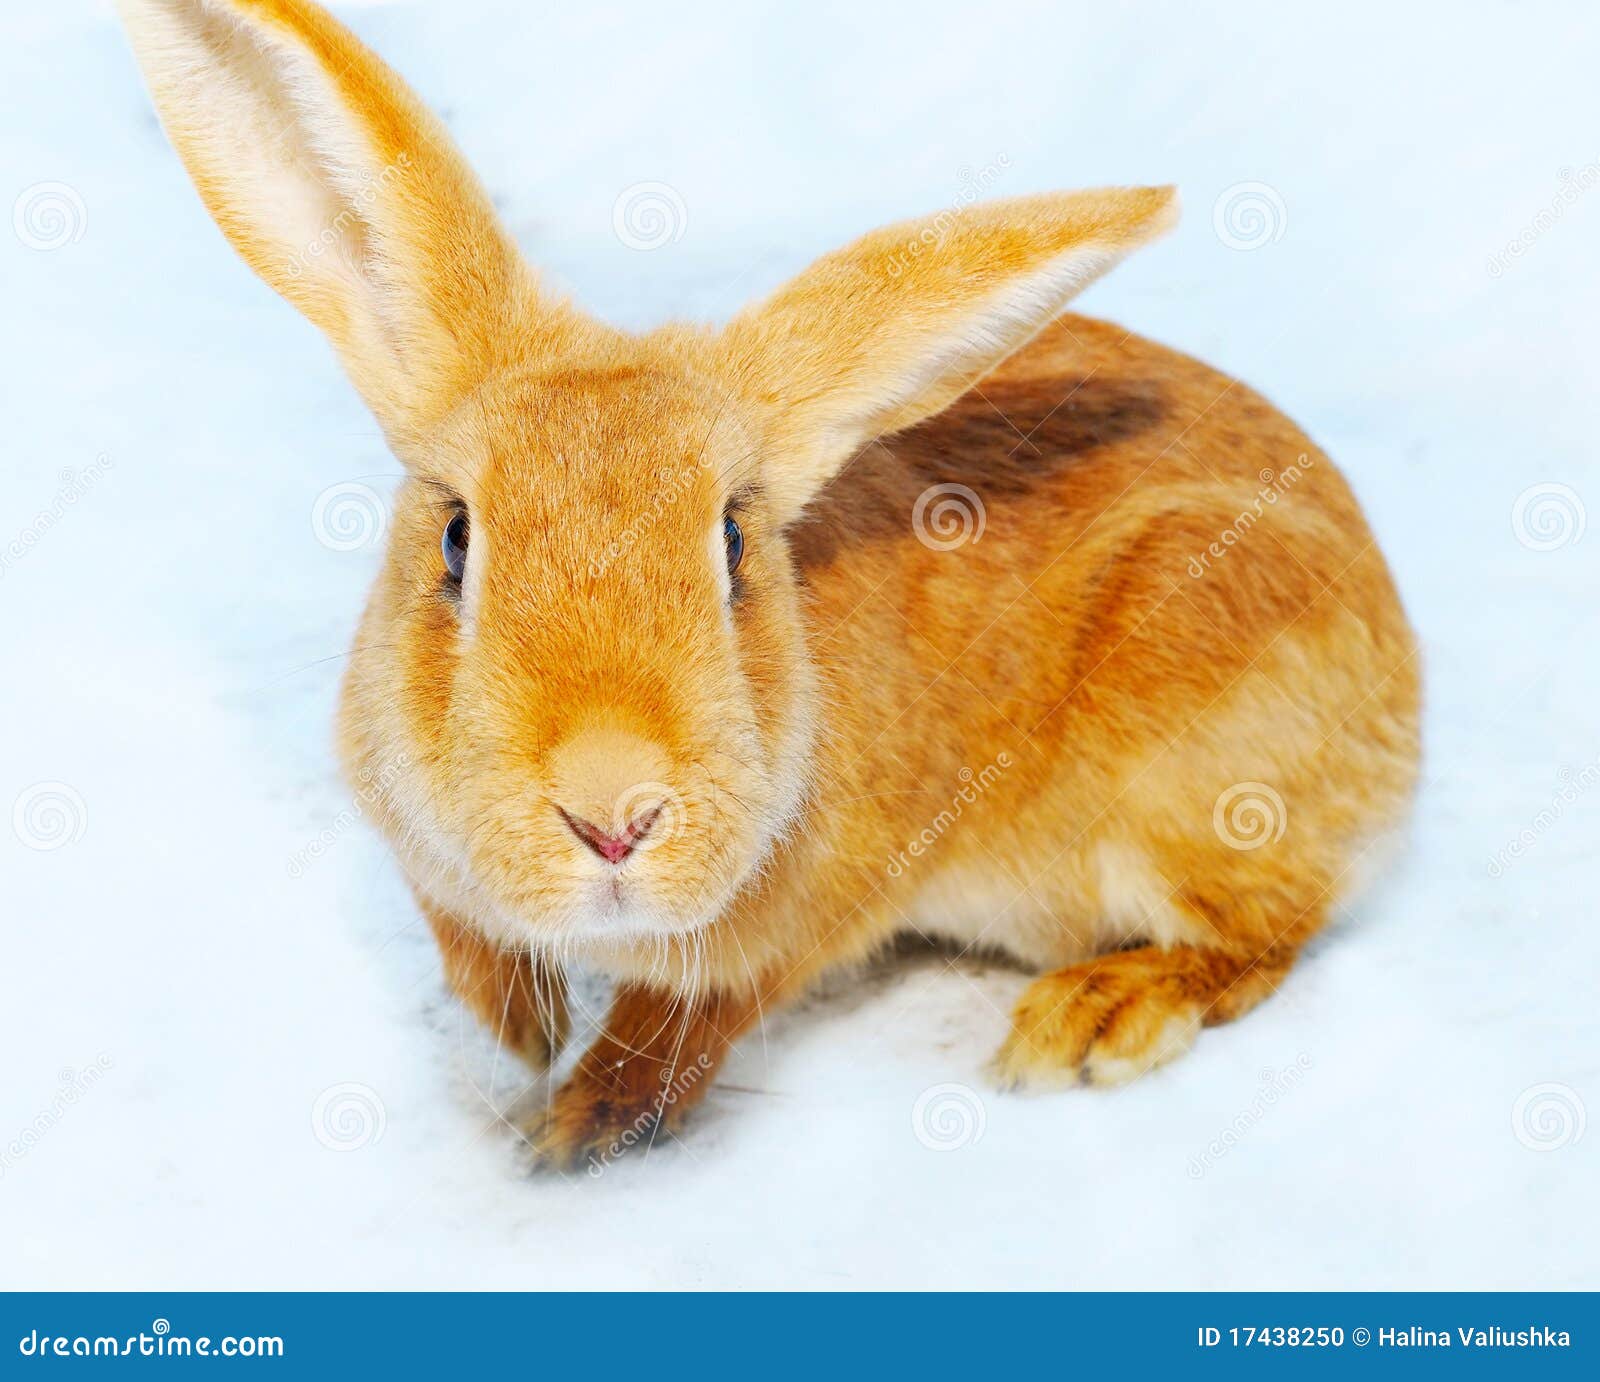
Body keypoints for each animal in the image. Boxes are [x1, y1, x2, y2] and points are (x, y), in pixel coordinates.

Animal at [120, 0, 1420, 1168]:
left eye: (735, 543)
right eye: (455, 540)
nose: (613, 812)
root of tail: (1400, 699)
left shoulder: (811, 908)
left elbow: (696, 1013)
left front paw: (578, 1126)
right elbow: (471, 943)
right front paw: (517, 1031)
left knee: (1264, 936)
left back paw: (1092, 1017)